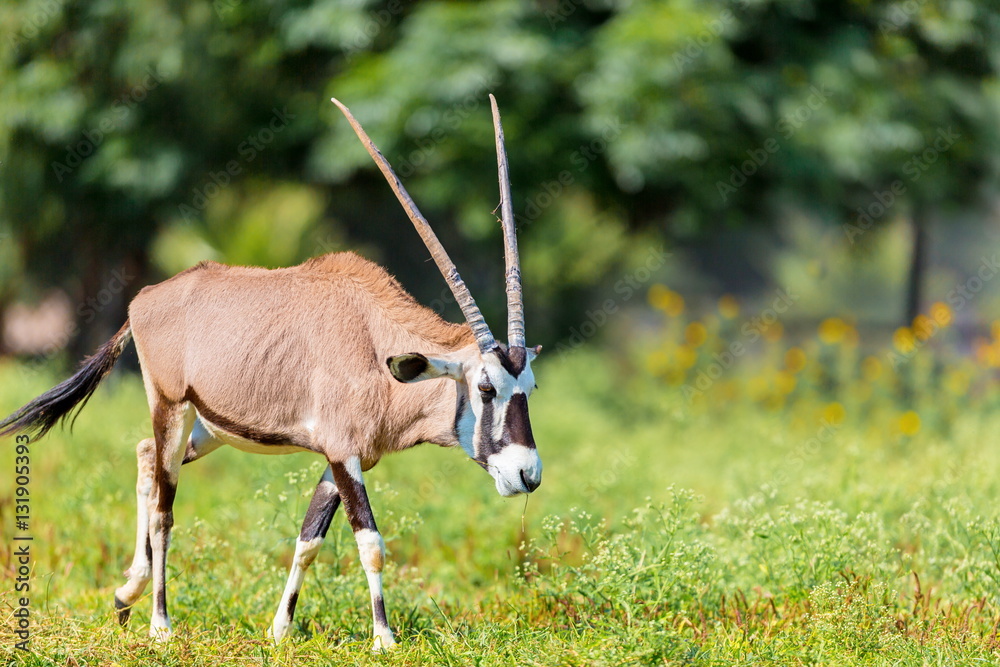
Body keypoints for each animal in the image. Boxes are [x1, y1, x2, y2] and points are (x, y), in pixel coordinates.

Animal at [0, 95, 542, 650]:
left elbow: (308, 539)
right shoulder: (343, 453)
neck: (376, 343)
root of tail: (144, 300)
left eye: (531, 387)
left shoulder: (344, 458)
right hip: (170, 408)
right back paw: (160, 622)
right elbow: (369, 541)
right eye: (485, 386)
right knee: (163, 510)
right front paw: (384, 638)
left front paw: (280, 629)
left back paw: (126, 592)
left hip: (205, 428)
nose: (528, 473)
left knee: (146, 458)